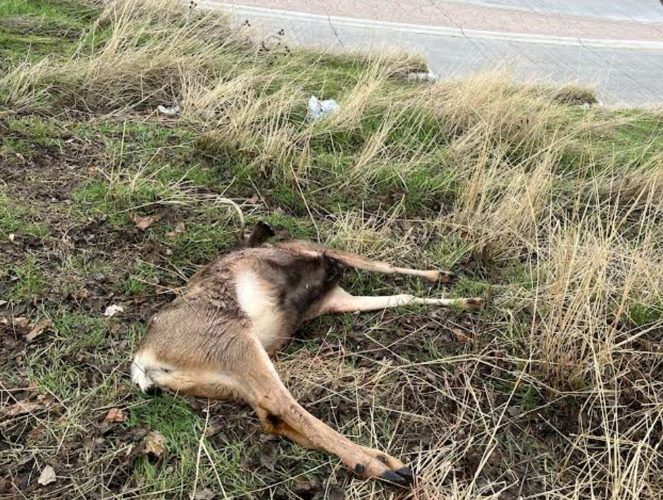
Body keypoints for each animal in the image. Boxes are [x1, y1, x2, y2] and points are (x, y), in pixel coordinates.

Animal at [131, 208, 484, 486]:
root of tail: (143, 363)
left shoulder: (336, 299)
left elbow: (401, 296)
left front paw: (468, 300)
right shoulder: (323, 254)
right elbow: (382, 265)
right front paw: (445, 275)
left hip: (227, 382)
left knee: (271, 419)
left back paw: (378, 461)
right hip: (235, 341)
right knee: (282, 402)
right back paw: (382, 466)